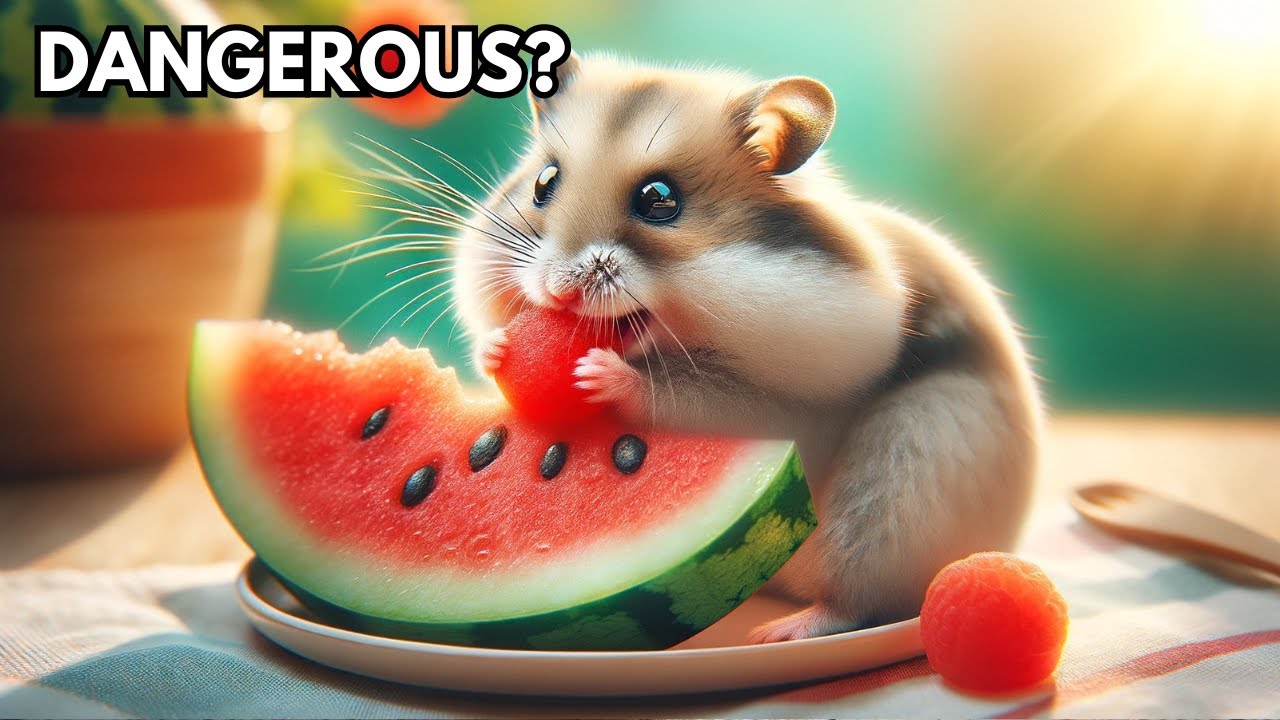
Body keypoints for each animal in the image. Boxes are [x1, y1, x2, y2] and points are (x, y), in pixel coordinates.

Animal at [451, 53, 1041, 642]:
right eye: (543, 182)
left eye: (659, 199)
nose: (559, 291)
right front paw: (495, 349)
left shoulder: (792, 405)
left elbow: (698, 395)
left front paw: (599, 373)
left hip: (899, 487)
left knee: (855, 599)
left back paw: (778, 632)